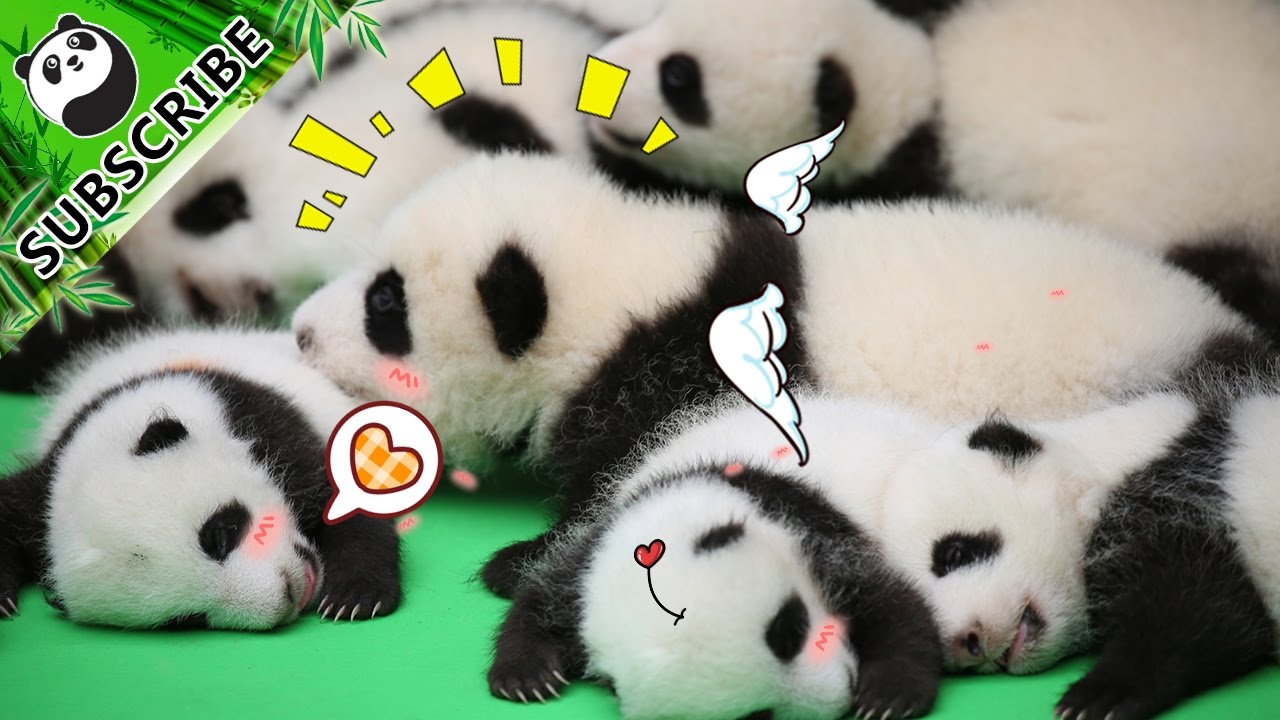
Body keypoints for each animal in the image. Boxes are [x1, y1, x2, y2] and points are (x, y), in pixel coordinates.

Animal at [0, 328, 402, 629]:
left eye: (220, 533)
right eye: (187, 619)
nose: (288, 595)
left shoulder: (263, 421)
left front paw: (354, 595)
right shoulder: (48, 484)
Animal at [289, 152, 1261, 592]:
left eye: (385, 305)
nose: (297, 333)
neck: (631, 284)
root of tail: (1234, 339)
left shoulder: (680, 370)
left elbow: (636, 472)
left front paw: (523, 559)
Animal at [487, 444, 943, 719]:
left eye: (789, 629)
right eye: (759, 715)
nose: (846, 690)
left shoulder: (806, 536)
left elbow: (894, 603)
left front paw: (889, 693)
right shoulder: (586, 566)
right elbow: (537, 599)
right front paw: (526, 676)